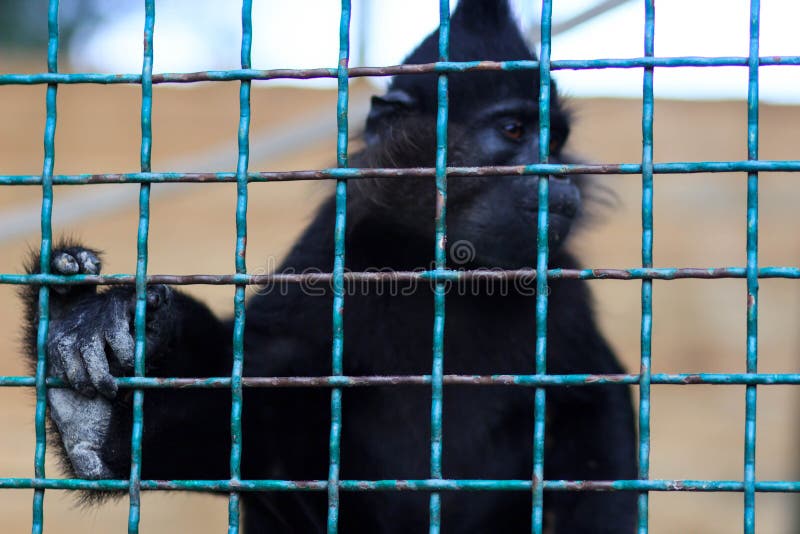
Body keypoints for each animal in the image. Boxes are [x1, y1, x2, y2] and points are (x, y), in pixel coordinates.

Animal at [19, 0, 637, 532]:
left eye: (556, 140)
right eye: (513, 131)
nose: (558, 174)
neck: (444, 269)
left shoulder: (565, 298)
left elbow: (598, 410)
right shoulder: (324, 263)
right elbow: (240, 420)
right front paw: (90, 344)